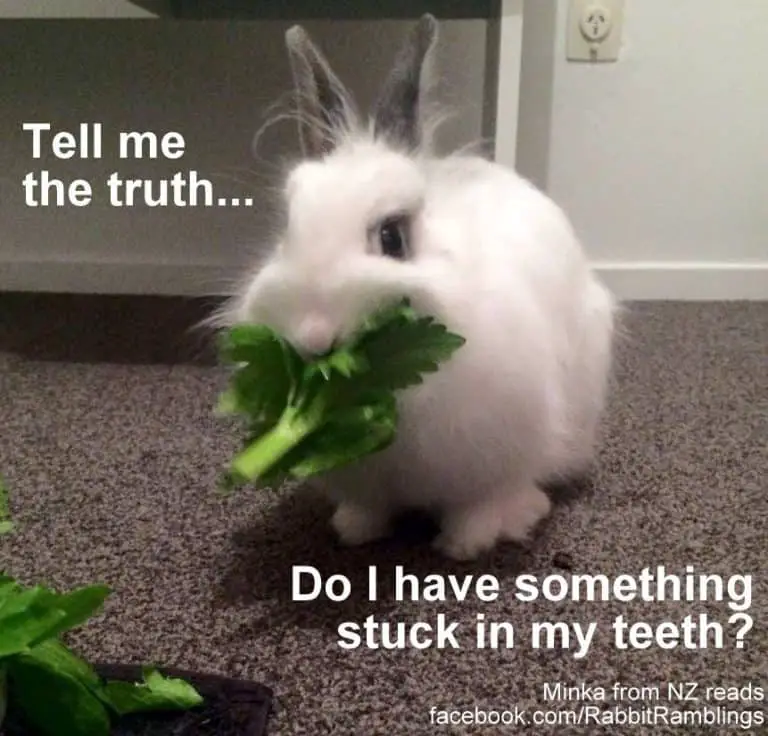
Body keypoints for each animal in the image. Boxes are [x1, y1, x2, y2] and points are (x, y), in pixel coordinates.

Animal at [220, 14, 617, 560]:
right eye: (286, 230)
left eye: (394, 237)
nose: (314, 337)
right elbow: (369, 508)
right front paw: (355, 530)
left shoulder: (499, 454)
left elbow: (487, 500)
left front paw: (469, 542)